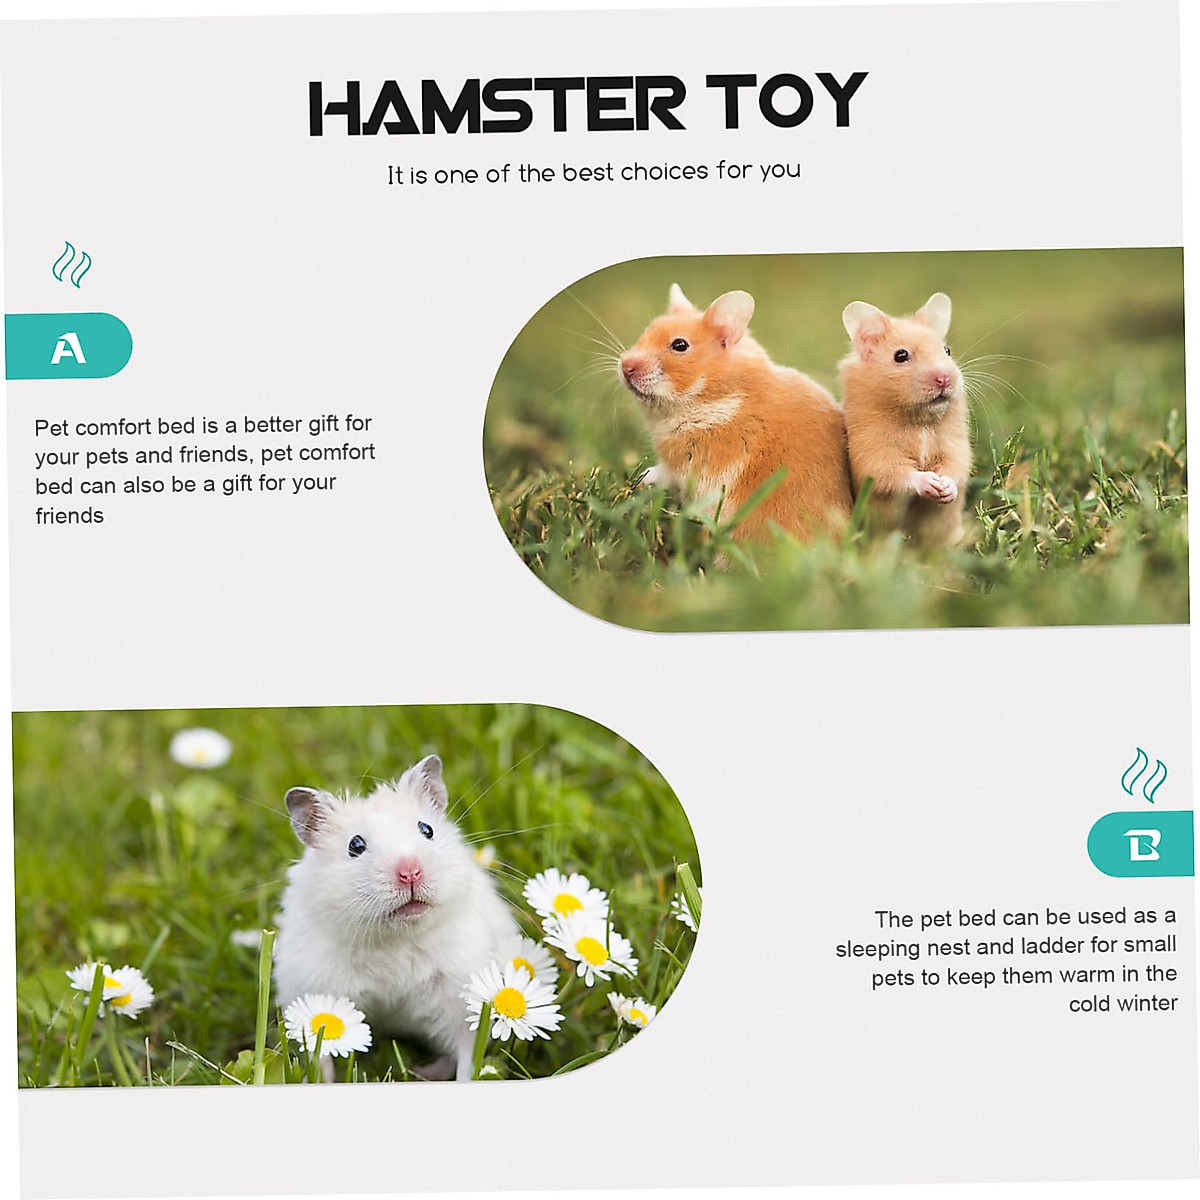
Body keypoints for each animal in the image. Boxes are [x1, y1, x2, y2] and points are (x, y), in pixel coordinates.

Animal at [273, 754, 516, 1081]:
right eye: (355, 845)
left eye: (427, 830)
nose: (410, 872)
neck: (394, 939)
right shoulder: (313, 991)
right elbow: (319, 1054)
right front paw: (321, 1082)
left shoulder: (460, 996)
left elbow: (468, 1054)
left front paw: (466, 1079)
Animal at [618, 284, 853, 544]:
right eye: (647, 331)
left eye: (680, 345)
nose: (625, 366)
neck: (717, 398)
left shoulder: (690, 466)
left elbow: (664, 473)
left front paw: (642, 477)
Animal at [839, 293, 971, 546]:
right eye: (900, 355)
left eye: (947, 350)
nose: (945, 379)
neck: (919, 421)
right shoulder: (874, 454)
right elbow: (896, 474)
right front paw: (931, 483)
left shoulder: (954, 444)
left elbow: (956, 467)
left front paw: (945, 488)